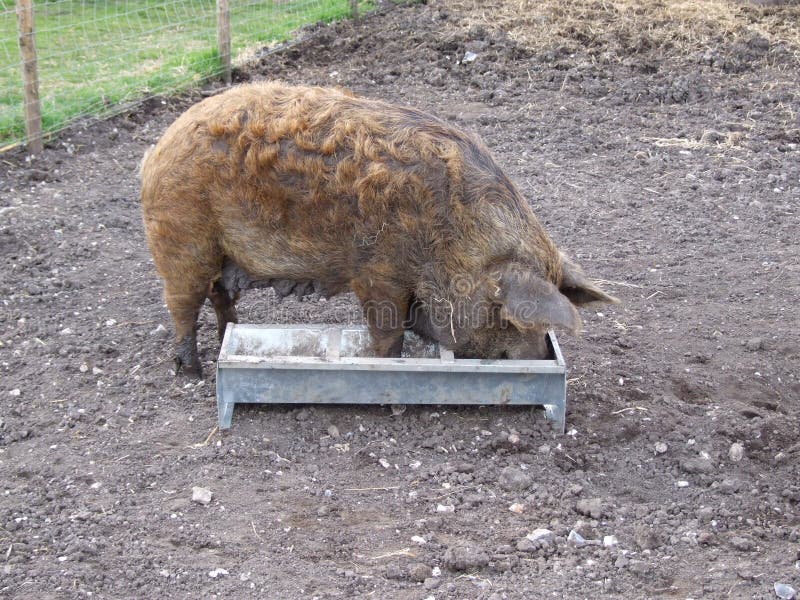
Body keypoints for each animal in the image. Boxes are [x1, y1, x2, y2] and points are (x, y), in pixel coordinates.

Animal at [140, 81, 618, 376]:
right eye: (509, 318)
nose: (539, 357)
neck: (453, 237)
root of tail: (156, 150)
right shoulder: (376, 272)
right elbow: (387, 334)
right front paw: (388, 364)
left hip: (220, 255)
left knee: (219, 298)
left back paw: (227, 337)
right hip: (180, 238)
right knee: (182, 305)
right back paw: (192, 372)